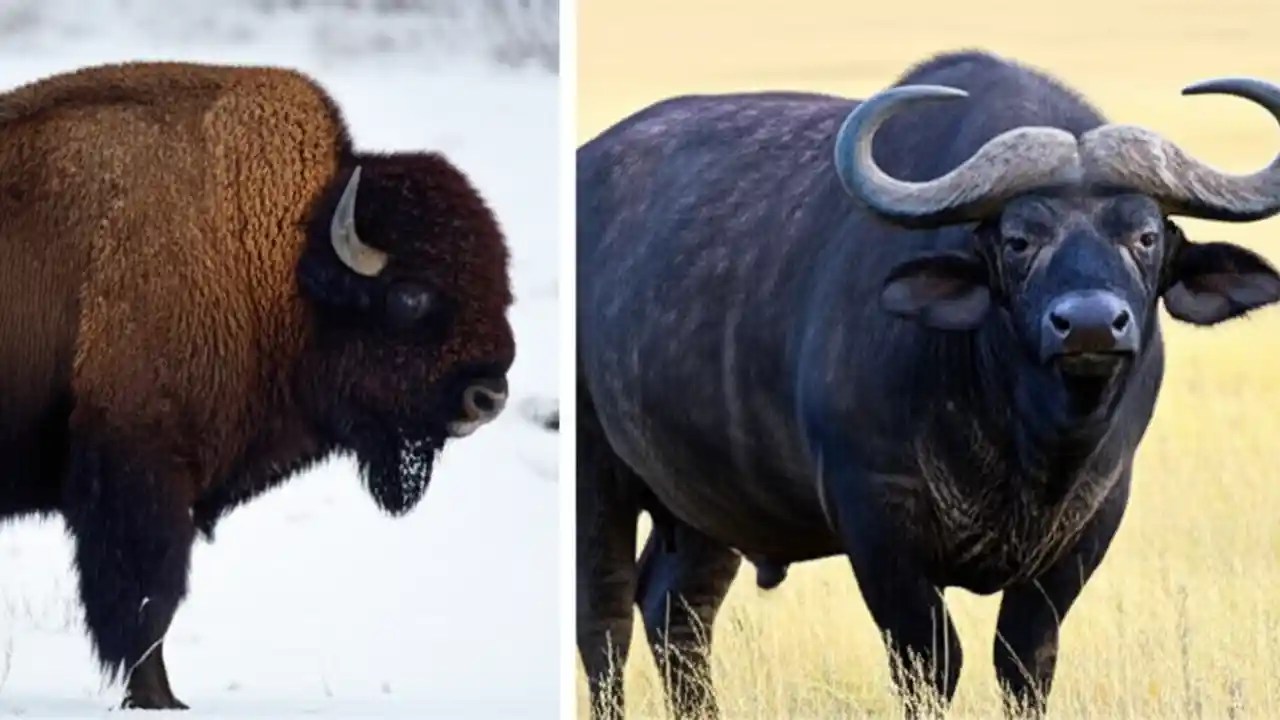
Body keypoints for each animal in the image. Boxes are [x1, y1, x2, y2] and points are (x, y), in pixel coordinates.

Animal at [0, 62, 514, 709]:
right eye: (409, 295)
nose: (488, 396)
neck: (279, 261)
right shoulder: (141, 470)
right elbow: (146, 603)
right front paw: (159, 699)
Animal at [577, 50, 1280, 718]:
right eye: (1019, 239)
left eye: (1146, 235)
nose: (1088, 324)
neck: (1024, 437)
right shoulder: (878, 522)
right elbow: (931, 663)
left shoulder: (1090, 523)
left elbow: (1026, 661)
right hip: (598, 480)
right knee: (605, 622)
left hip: (707, 499)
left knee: (677, 609)